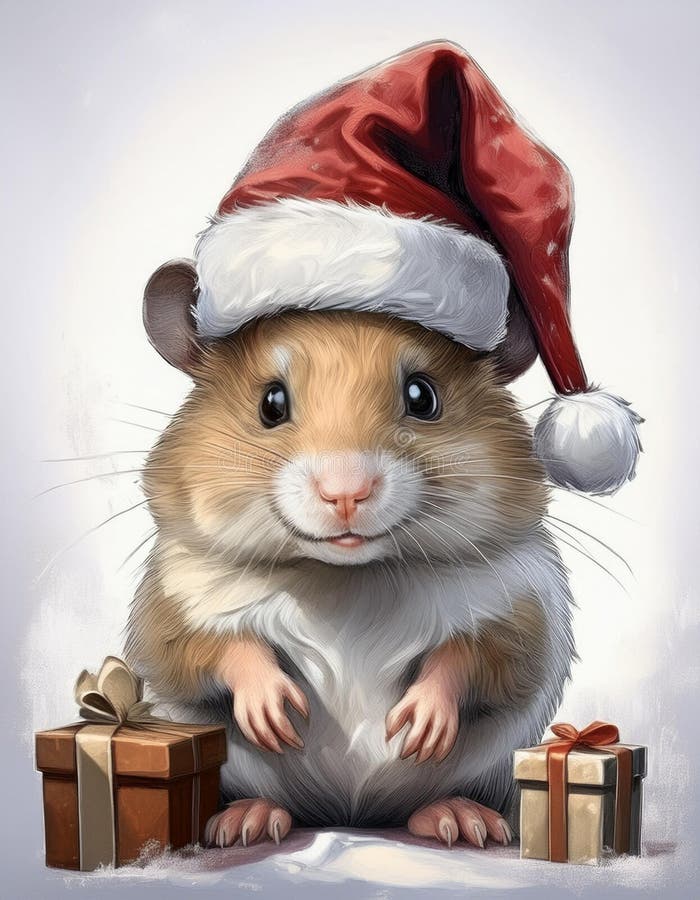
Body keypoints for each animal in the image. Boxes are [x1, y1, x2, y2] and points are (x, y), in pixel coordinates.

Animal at [125, 308, 575, 849]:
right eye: (271, 403)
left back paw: (463, 821)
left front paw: (418, 727)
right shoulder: (176, 601)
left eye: (422, 397)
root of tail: (351, 814)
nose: (345, 493)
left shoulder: (518, 608)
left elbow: (471, 656)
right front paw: (275, 714)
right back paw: (245, 822)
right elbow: (217, 648)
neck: (344, 577)